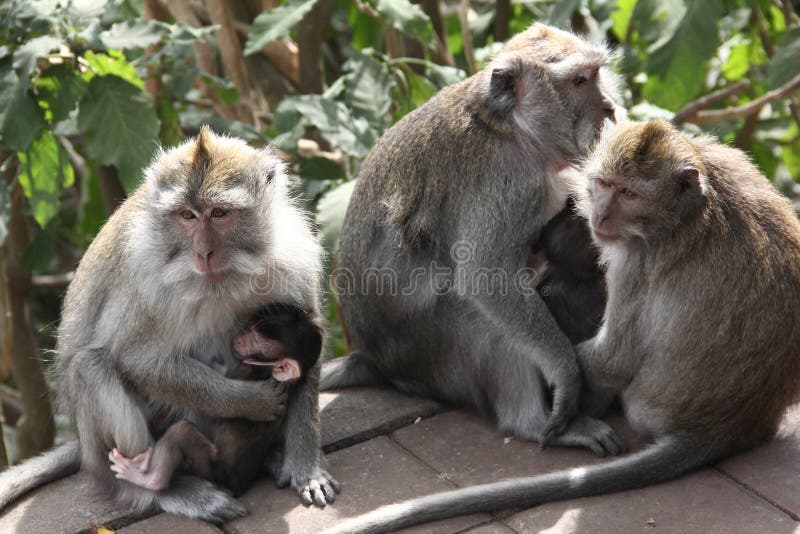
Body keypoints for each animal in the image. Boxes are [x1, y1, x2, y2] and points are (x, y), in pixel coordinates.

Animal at [108, 304, 326, 498]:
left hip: (214, 470)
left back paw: (147, 478)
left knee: (182, 433)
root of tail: (237, 484)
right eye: (252, 328)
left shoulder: (247, 369)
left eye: (256, 341)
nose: (239, 339)